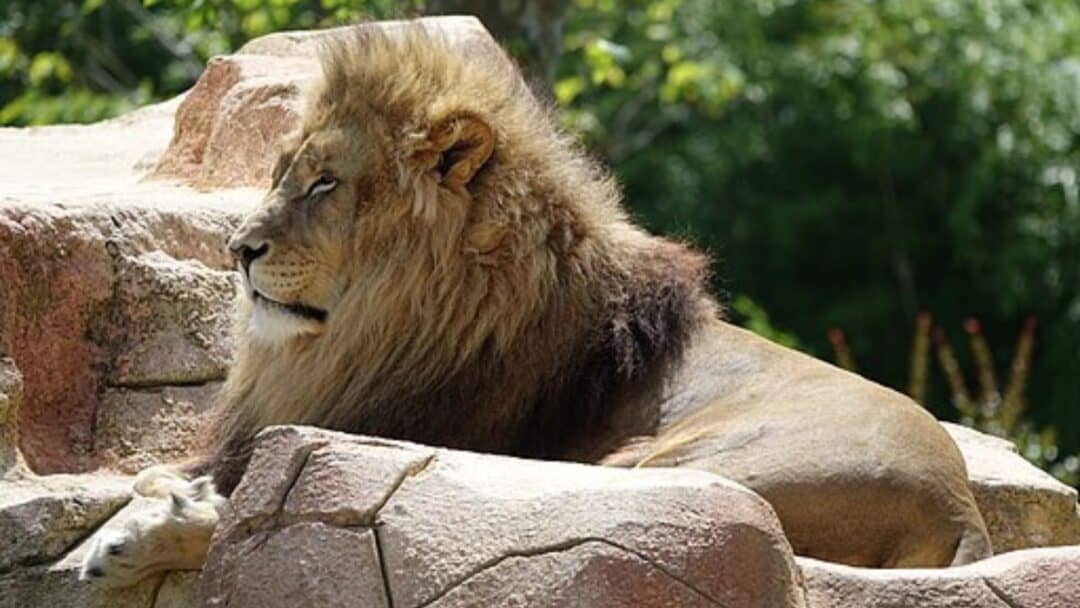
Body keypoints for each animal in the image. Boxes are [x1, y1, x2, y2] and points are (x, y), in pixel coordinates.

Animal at [81, 22, 991, 587]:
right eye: (280, 173)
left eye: (326, 184)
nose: (239, 250)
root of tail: (966, 514)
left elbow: (234, 501)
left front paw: (142, 522)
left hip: (666, 474)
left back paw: (125, 545)